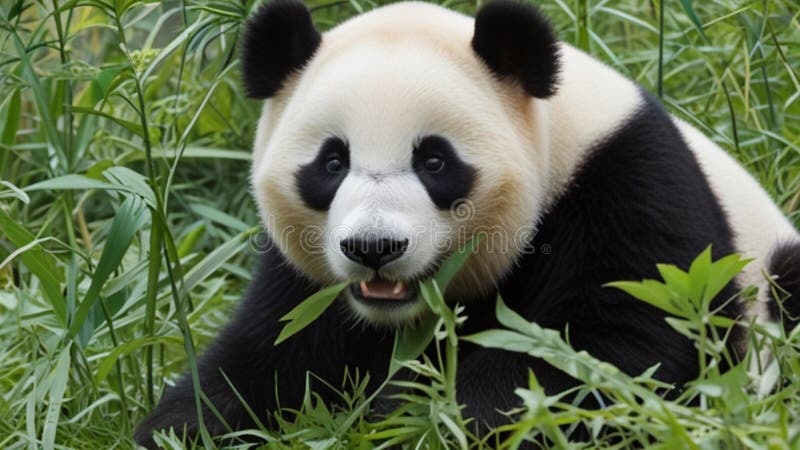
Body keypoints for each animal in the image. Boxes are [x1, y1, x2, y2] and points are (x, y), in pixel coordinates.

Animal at [135, 0, 800, 447]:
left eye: (434, 160)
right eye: (331, 162)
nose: (373, 247)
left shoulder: (630, 184)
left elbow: (613, 346)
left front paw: (415, 420)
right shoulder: (306, 277)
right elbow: (264, 356)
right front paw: (180, 427)